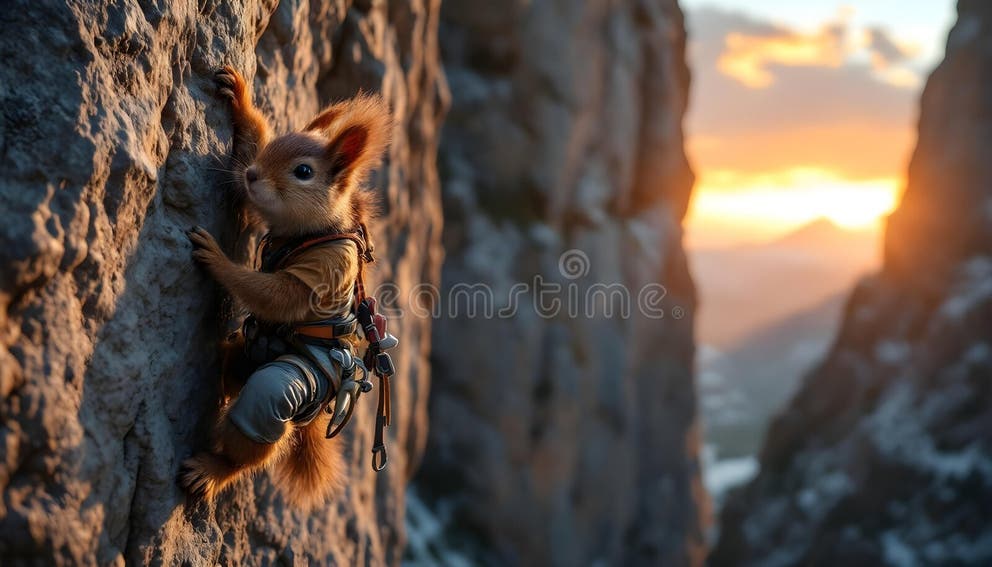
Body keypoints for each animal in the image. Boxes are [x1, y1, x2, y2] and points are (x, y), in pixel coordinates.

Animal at [180, 65, 390, 508]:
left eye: (304, 171)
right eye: (272, 148)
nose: (255, 175)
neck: (311, 231)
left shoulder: (327, 267)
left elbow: (279, 296)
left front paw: (217, 258)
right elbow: (243, 159)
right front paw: (239, 97)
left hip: (294, 384)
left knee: (255, 424)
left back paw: (214, 471)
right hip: (243, 355)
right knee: (230, 370)